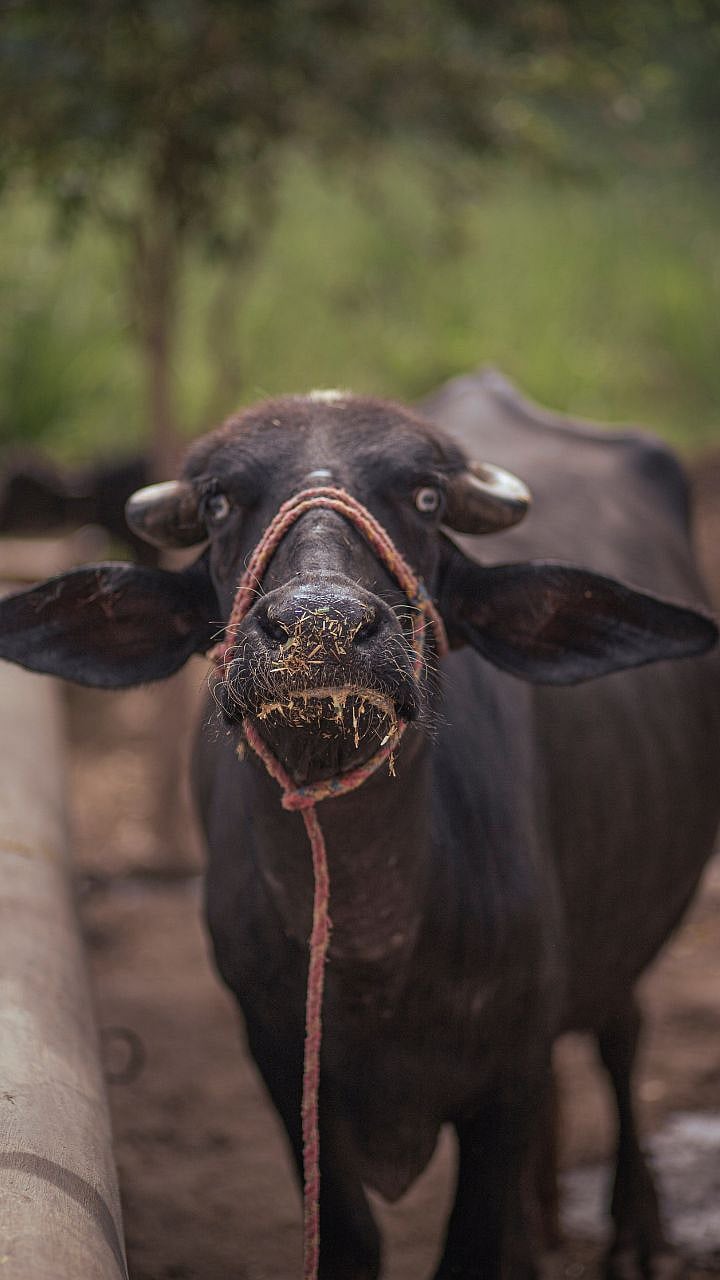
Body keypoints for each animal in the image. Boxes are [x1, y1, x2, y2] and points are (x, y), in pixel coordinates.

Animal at [0, 370, 718, 1279]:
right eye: (221, 500)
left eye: (424, 495)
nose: (321, 628)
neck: (375, 956)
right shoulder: (281, 1059)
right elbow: (350, 1238)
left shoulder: (511, 1069)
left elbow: (472, 1242)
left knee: (622, 1037)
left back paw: (636, 1232)